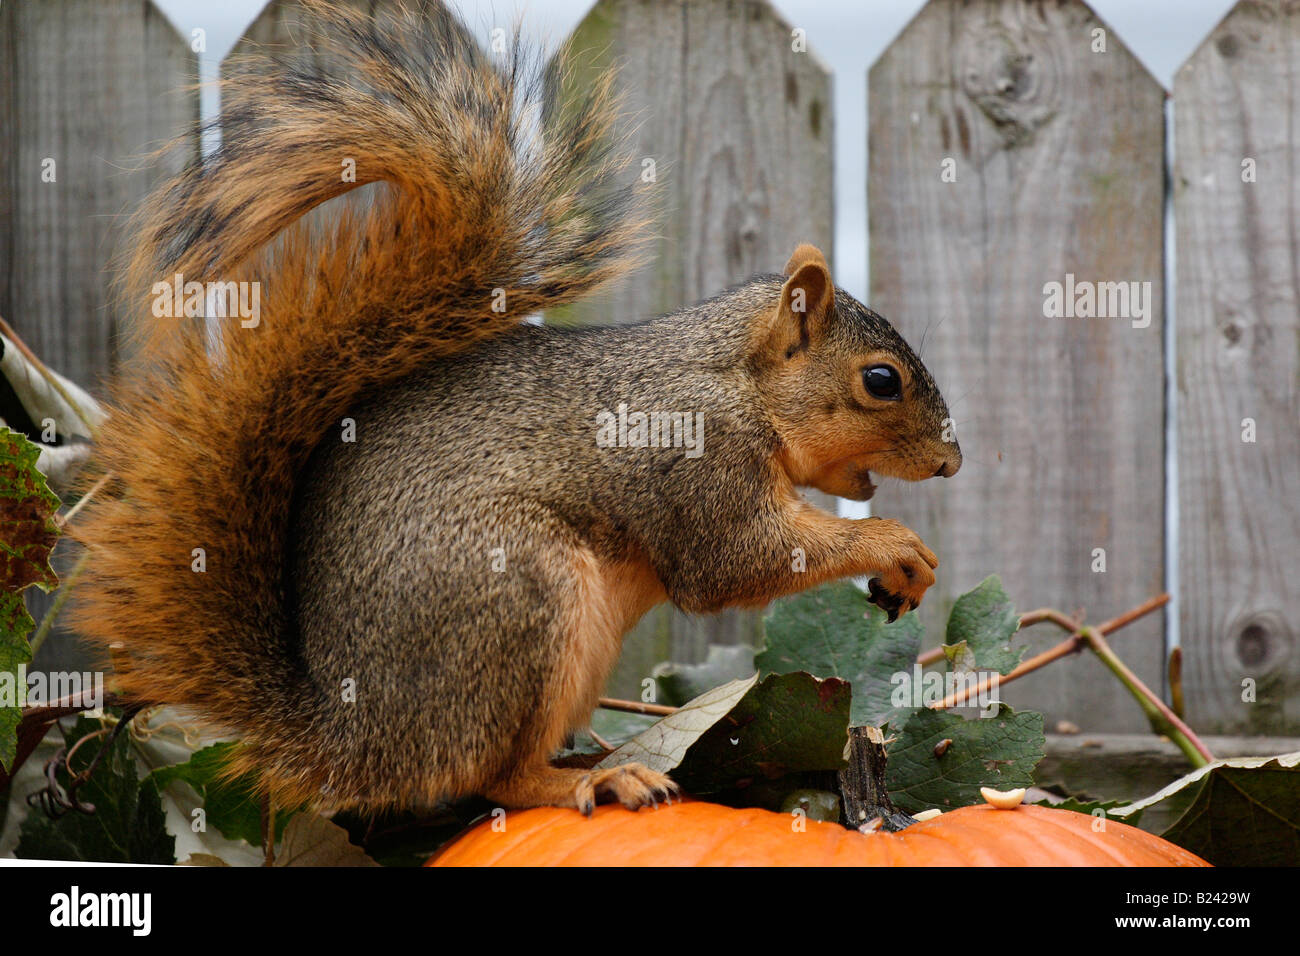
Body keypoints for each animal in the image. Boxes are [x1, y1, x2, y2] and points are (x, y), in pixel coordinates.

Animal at [71, 0, 960, 815]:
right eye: (882, 381)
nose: (950, 463)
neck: (737, 380)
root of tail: (351, 741)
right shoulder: (695, 456)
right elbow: (734, 560)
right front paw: (894, 545)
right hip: (519, 595)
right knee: (496, 779)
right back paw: (598, 779)